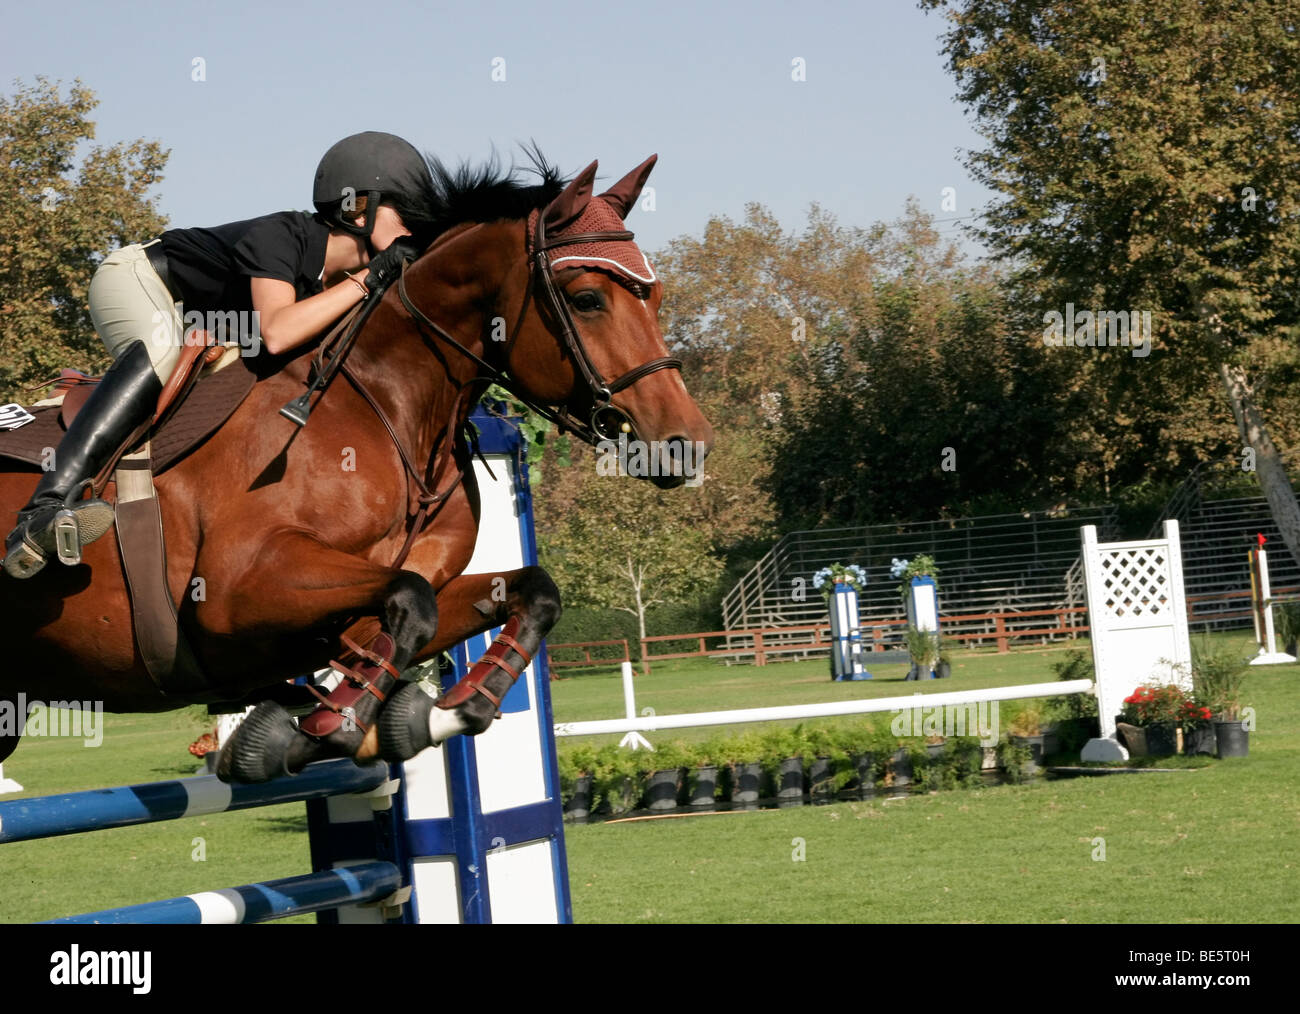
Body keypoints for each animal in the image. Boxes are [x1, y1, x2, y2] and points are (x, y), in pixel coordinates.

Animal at [0, 152, 713, 781]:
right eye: (588, 298)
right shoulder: (233, 593)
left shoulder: (370, 599)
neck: (388, 403)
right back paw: (44, 528)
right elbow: (411, 601)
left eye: (654, 296)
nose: (686, 444)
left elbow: (516, 594)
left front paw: (431, 715)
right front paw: (319, 731)